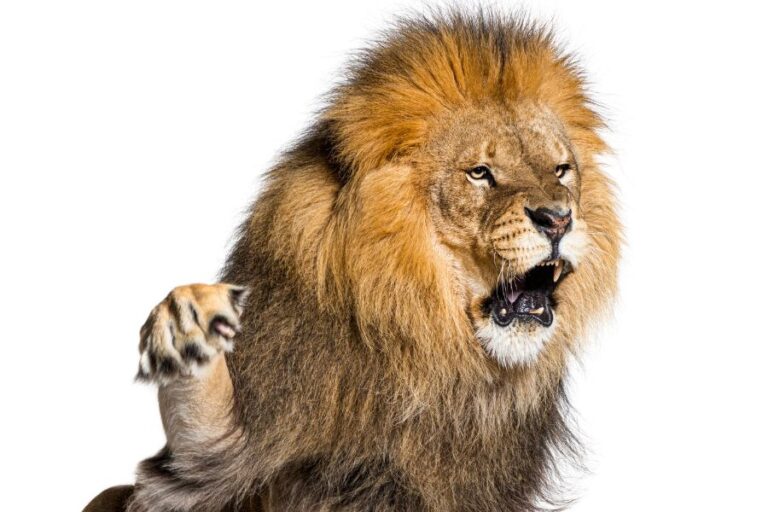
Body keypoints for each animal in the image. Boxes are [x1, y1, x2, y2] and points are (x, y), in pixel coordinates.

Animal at [88, 10, 620, 512]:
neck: (437, 352)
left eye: (561, 170)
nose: (558, 219)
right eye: (479, 173)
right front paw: (185, 324)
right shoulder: (236, 454)